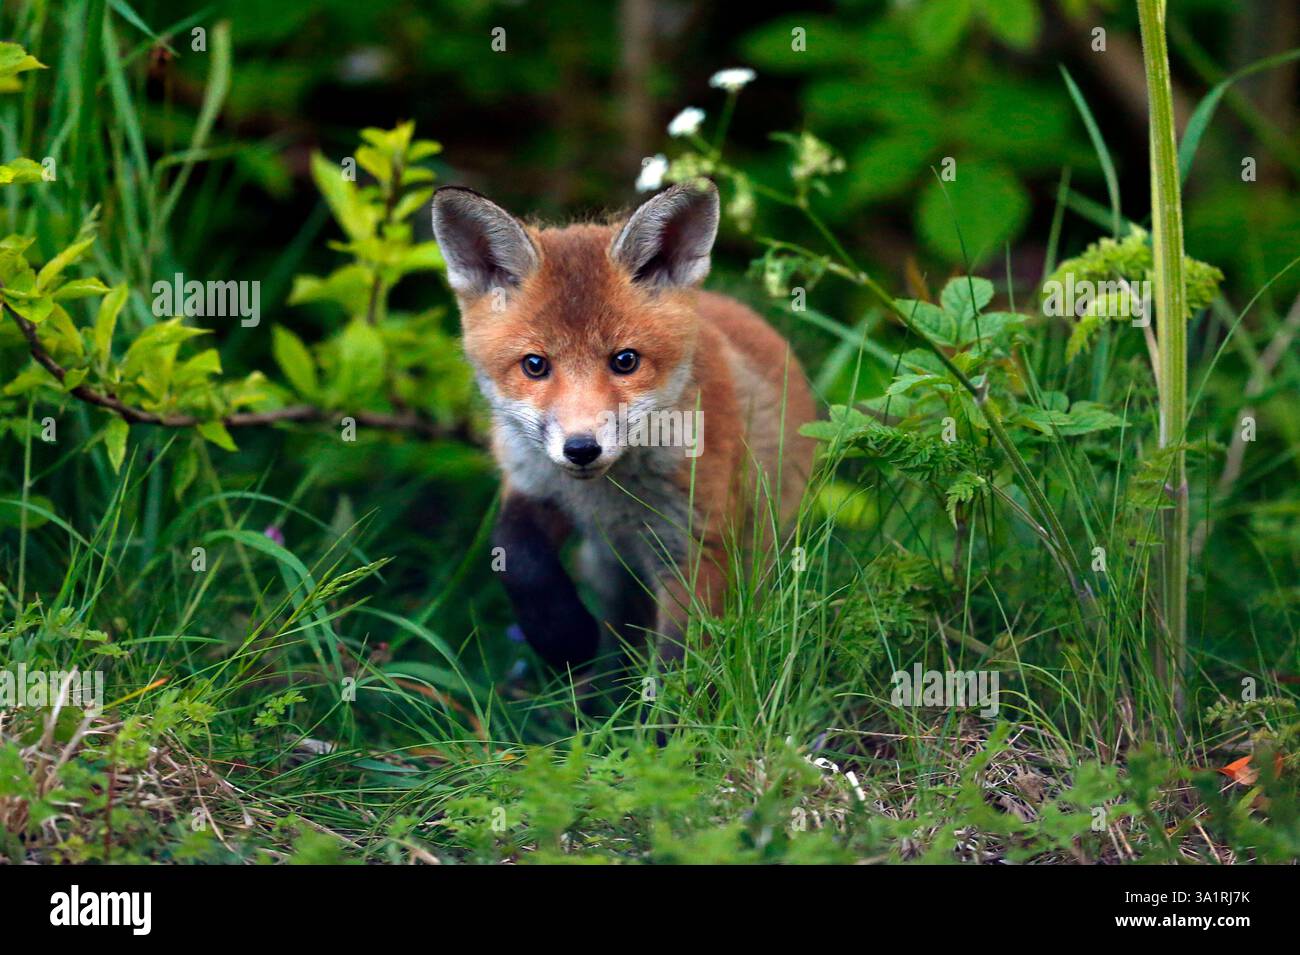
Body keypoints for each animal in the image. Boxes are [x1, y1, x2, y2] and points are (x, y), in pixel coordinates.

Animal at [431, 178, 816, 672]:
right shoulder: (531, 482)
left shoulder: (698, 541)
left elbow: (678, 659)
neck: (606, 498)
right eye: (535, 365)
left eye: (625, 361)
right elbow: (518, 555)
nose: (581, 448)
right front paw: (564, 637)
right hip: (608, 570)